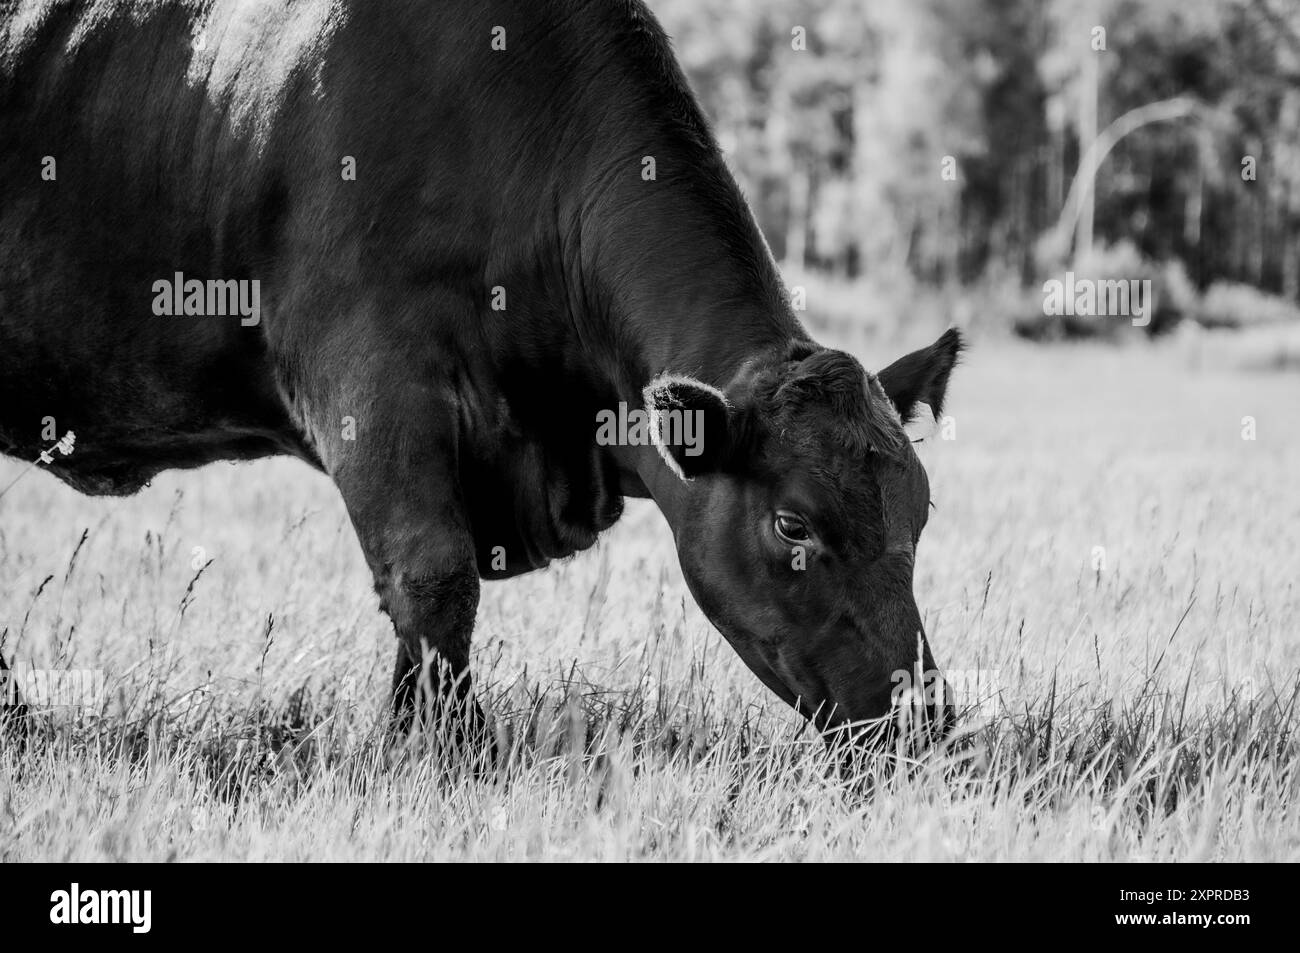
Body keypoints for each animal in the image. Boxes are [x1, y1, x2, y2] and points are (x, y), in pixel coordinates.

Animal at [1, 0, 962, 750]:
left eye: (921, 513)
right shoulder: (368, 373)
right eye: (794, 524)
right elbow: (433, 573)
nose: (924, 716)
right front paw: (444, 747)